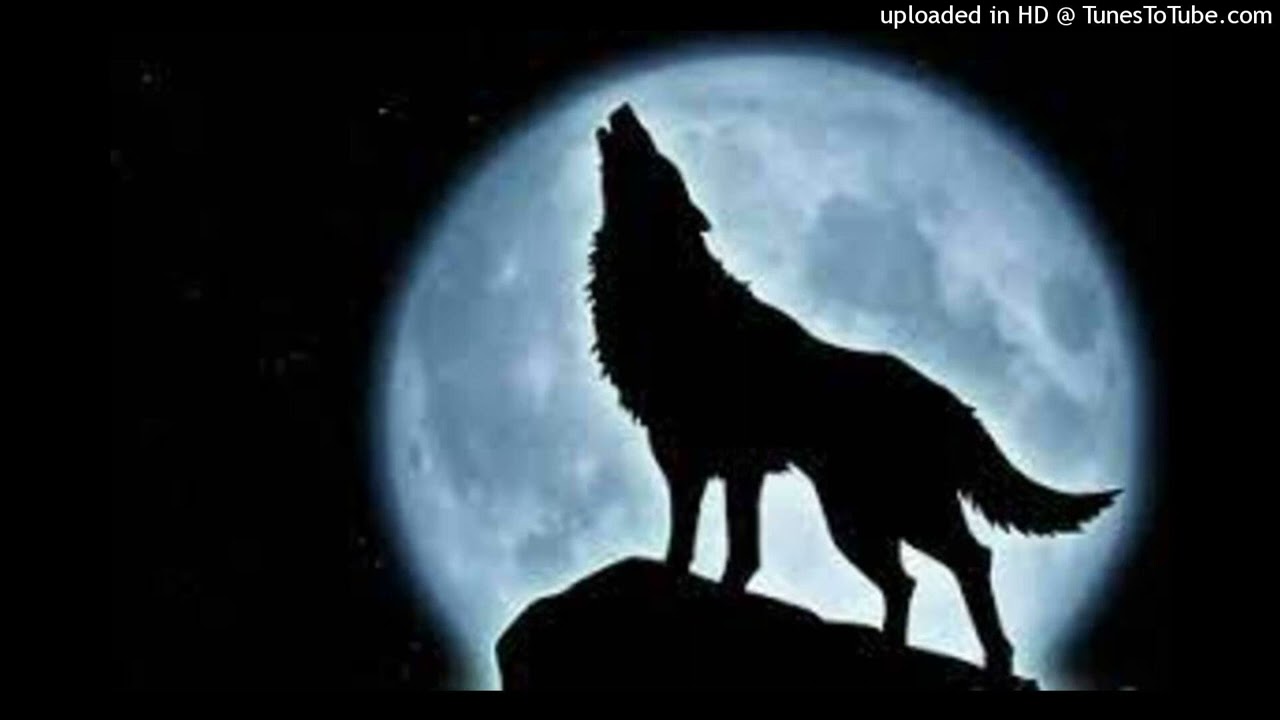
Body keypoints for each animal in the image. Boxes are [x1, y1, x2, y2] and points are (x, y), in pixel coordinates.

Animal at [587, 104, 1118, 675]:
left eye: (659, 160)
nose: (625, 109)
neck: (671, 291)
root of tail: (948, 399)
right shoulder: (694, 459)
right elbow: (698, 545)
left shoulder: (726, 462)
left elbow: (728, 548)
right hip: (859, 519)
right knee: (906, 582)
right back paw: (891, 646)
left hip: (898, 510)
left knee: (970, 561)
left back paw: (996, 661)